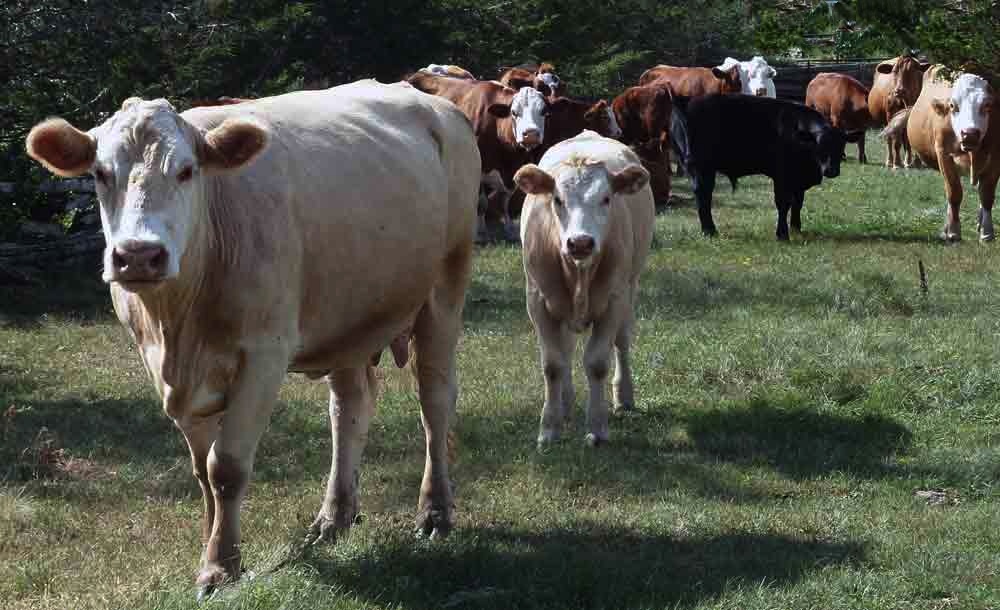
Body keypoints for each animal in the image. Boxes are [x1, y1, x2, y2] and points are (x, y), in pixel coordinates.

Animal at [24, 80, 481, 596]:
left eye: (187, 171)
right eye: (101, 174)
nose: (139, 255)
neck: (178, 326)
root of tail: (431, 100)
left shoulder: (264, 355)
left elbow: (226, 467)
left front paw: (222, 566)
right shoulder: (166, 371)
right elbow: (202, 471)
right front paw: (213, 548)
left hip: (445, 289)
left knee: (435, 399)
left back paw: (435, 511)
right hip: (348, 315)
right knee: (349, 409)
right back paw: (335, 517)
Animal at [515, 131, 654, 447]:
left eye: (606, 198)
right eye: (557, 199)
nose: (580, 242)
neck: (578, 272)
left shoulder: (614, 301)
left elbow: (597, 363)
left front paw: (597, 427)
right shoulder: (538, 301)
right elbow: (553, 363)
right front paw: (549, 428)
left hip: (631, 287)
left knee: (622, 342)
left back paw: (624, 397)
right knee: (566, 348)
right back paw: (565, 403)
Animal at [671, 94, 846, 240]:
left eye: (841, 146)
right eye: (820, 147)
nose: (831, 170)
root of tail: (687, 101)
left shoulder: (798, 180)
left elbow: (798, 203)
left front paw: (796, 228)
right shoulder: (782, 177)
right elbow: (783, 204)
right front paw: (782, 234)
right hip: (701, 167)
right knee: (703, 195)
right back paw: (709, 231)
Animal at [907, 67, 998, 242]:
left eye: (987, 105)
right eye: (952, 105)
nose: (969, 134)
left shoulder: (996, 158)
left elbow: (986, 195)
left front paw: (987, 232)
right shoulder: (944, 154)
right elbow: (954, 193)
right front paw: (954, 231)